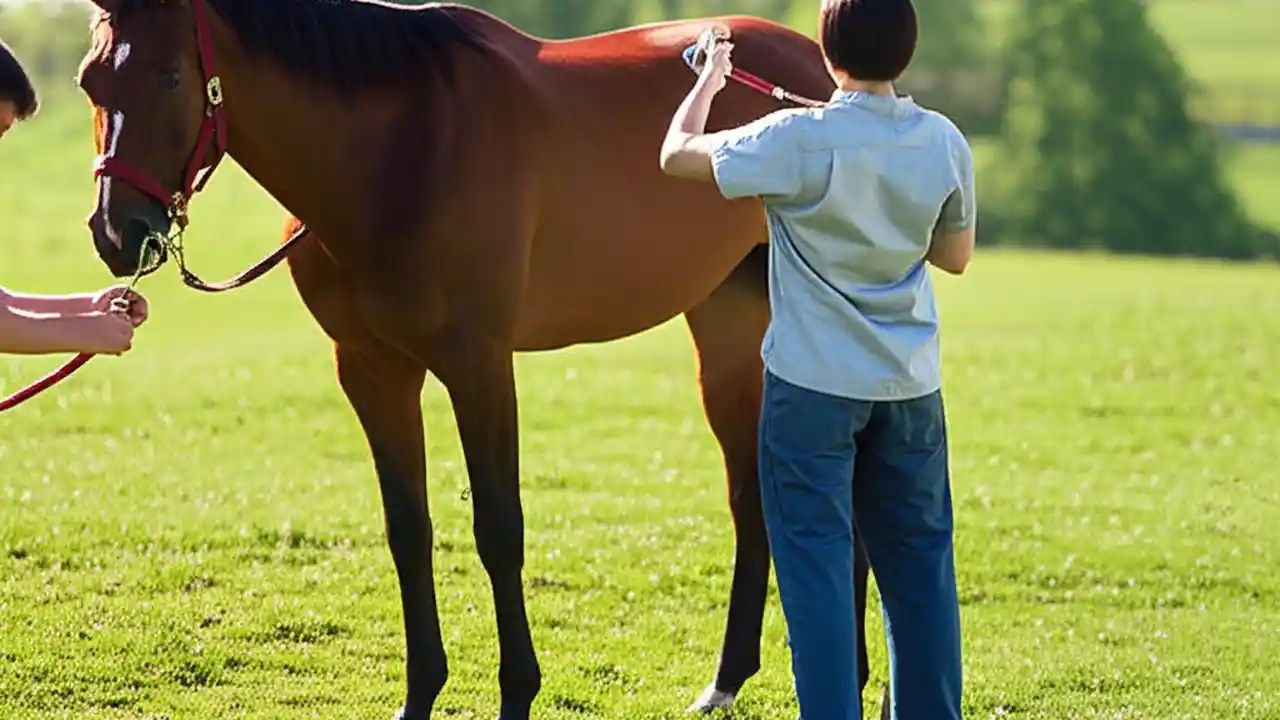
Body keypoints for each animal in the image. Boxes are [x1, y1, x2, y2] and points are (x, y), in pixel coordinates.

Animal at [76, 1, 875, 717]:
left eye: (170, 77)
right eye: (91, 81)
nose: (119, 232)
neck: (397, 152)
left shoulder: (480, 366)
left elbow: (498, 529)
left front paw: (517, 692)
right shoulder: (371, 371)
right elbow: (408, 530)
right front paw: (419, 694)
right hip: (728, 331)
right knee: (751, 497)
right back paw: (729, 681)